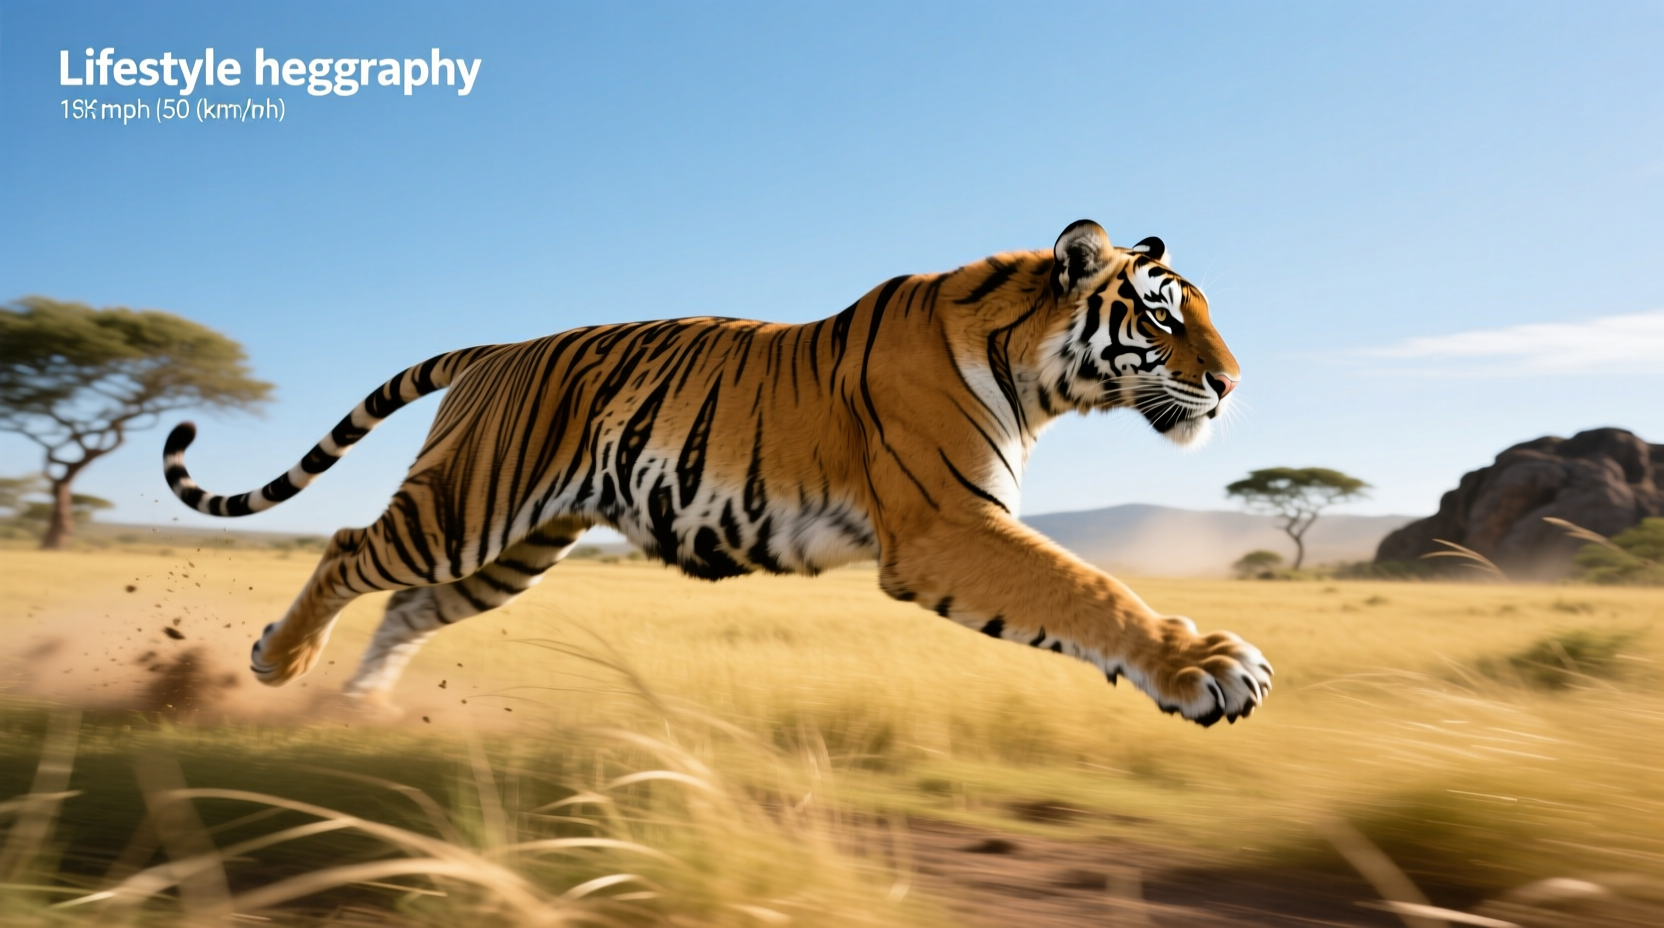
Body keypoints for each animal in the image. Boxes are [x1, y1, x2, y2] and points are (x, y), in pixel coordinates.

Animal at [163, 220, 1272, 726]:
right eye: (1162, 316)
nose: (1229, 384)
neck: (1039, 374)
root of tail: (497, 346)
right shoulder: (945, 524)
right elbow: (1088, 587)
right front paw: (1205, 666)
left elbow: (1082, 586)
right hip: (463, 508)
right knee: (351, 548)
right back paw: (278, 663)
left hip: (510, 546)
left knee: (406, 607)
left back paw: (356, 712)